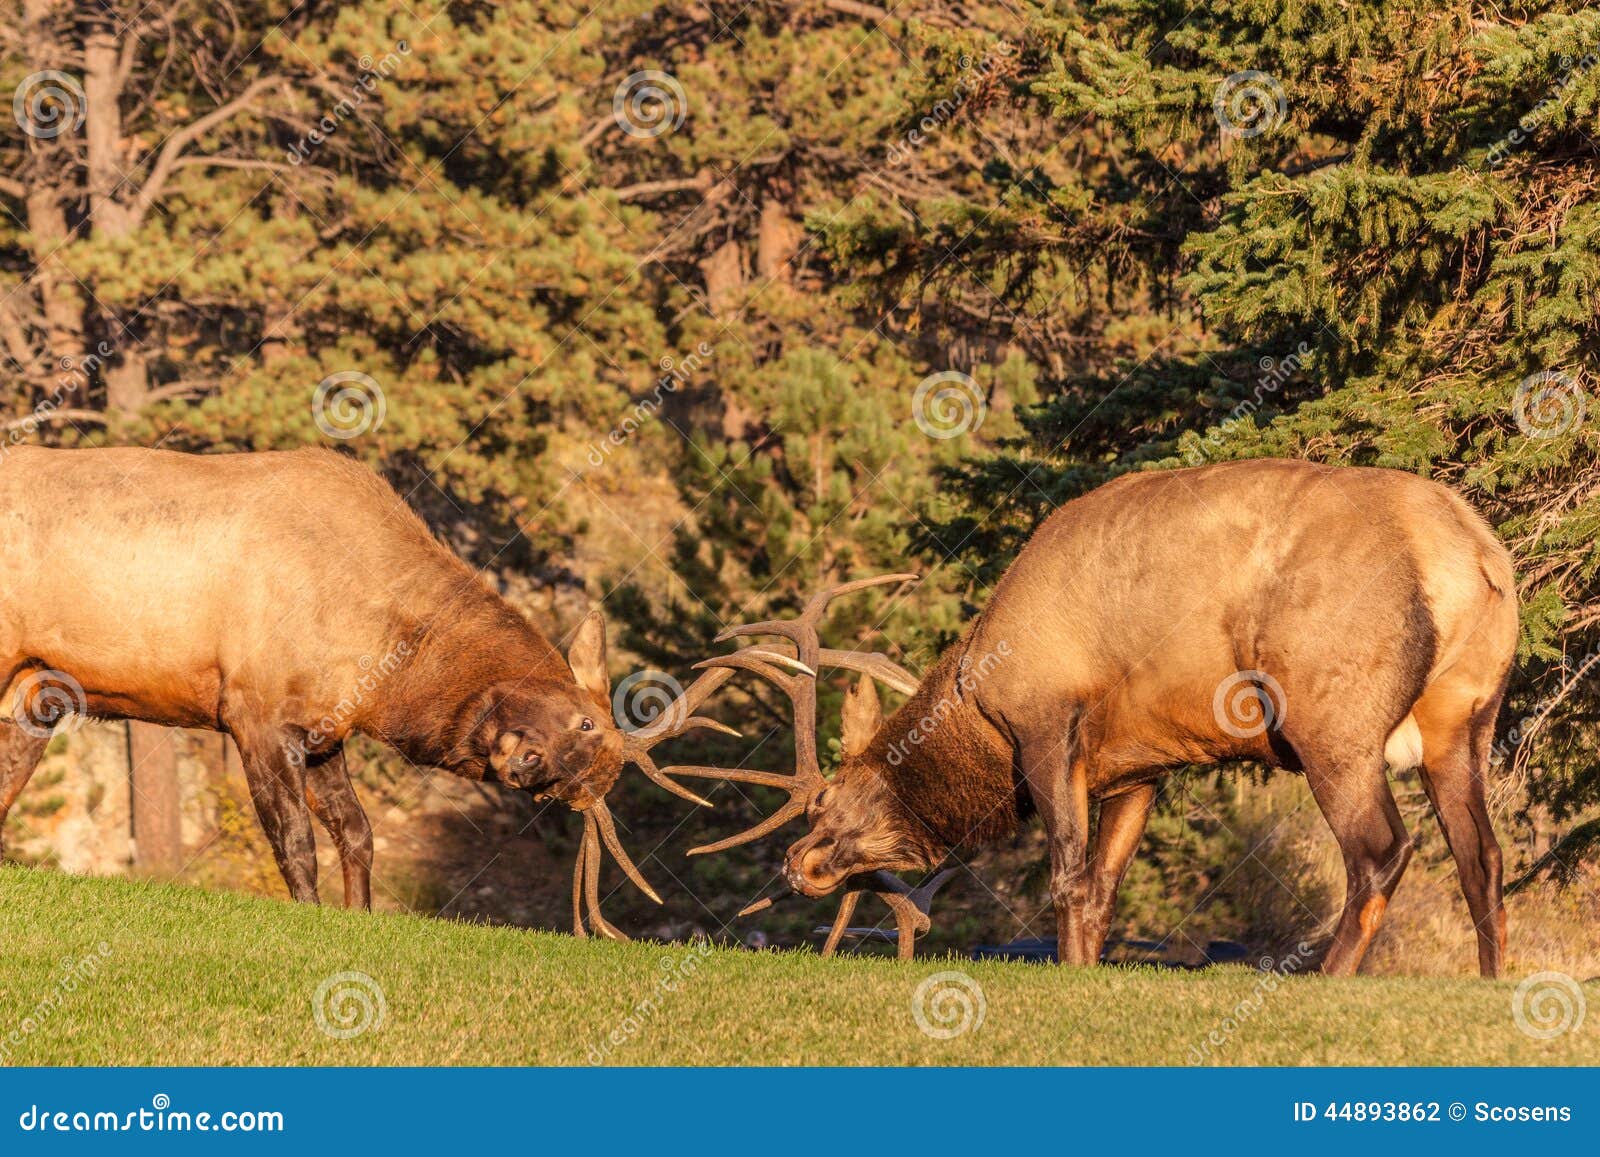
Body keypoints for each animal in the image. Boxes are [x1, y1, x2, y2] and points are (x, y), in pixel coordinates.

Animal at [0, 444, 690, 930]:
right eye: (585, 721)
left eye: (564, 793)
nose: (525, 763)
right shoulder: (254, 709)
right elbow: (295, 841)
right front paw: (311, 915)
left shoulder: (324, 728)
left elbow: (358, 831)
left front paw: (358, 916)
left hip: (35, 693)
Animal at [654, 460, 1518, 977]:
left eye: (829, 799)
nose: (796, 863)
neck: (977, 697)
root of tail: (1475, 556)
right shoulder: (1142, 764)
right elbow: (1104, 886)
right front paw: (1087, 968)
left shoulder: (1046, 722)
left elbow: (1067, 873)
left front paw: (1068, 975)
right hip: (1466, 719)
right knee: (1483, 856)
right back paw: (1490, 980)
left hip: (1333, 718)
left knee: (1381, 850)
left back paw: (1325, 978)